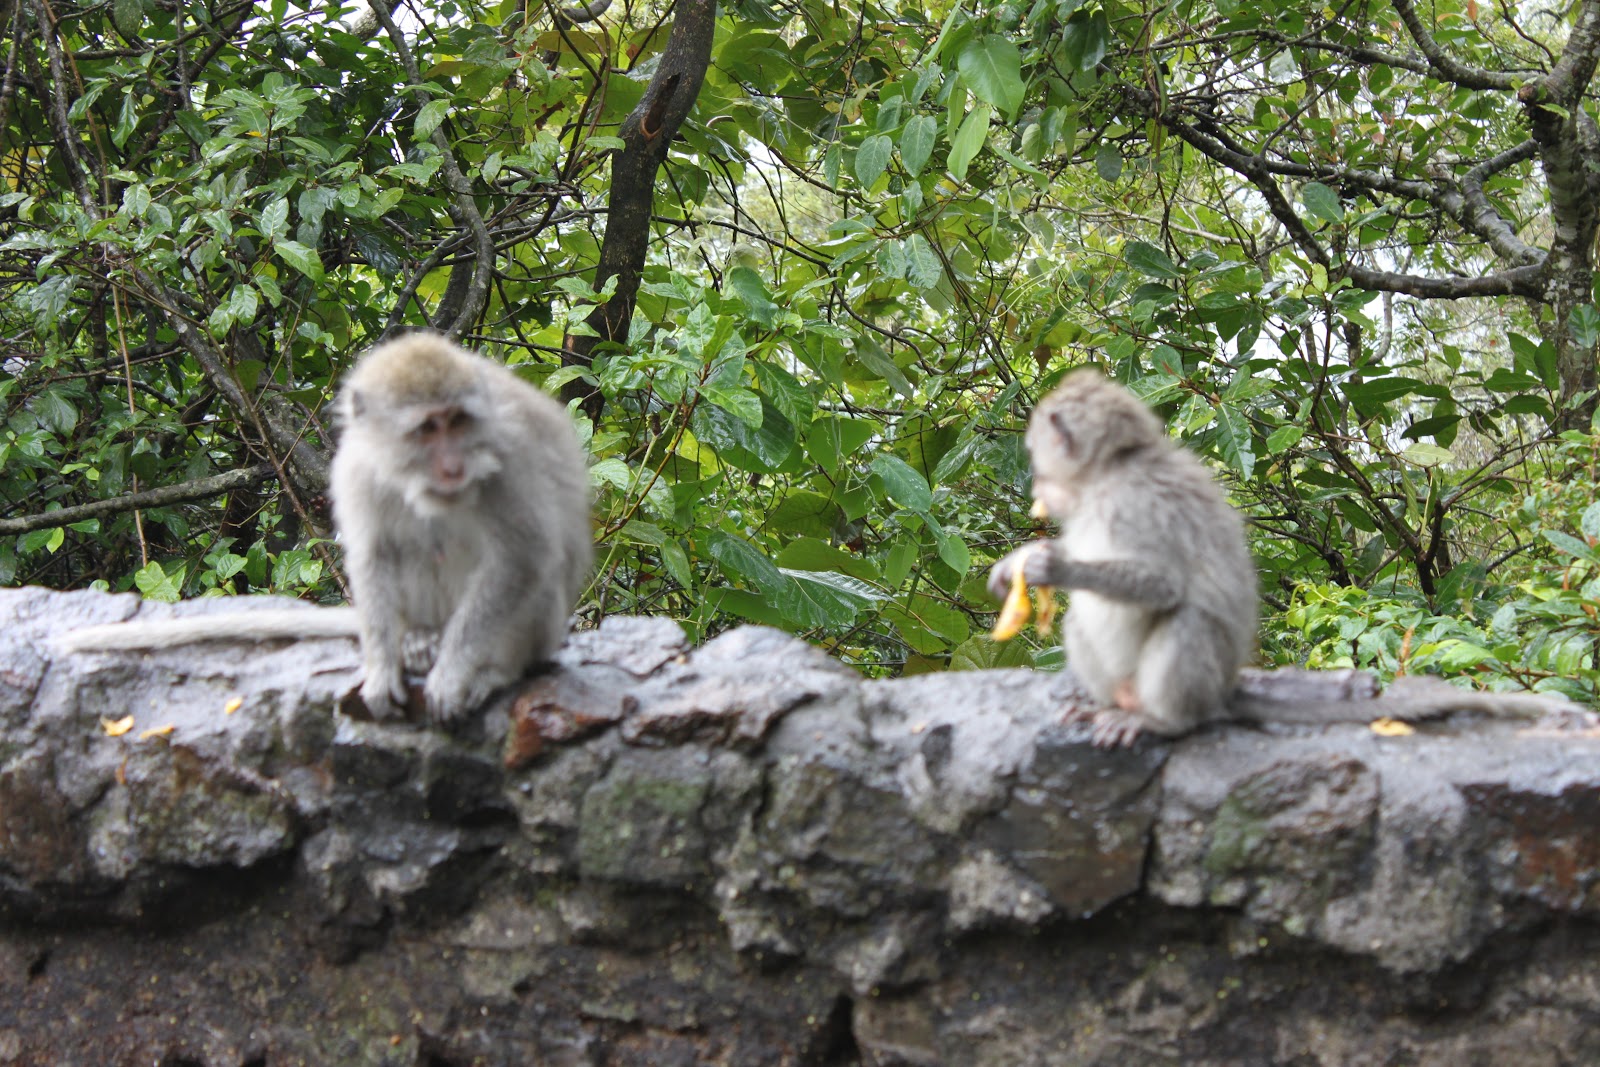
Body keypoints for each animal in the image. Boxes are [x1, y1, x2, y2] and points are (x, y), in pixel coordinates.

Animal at [58, 333, 594, 726]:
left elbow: (522, 556)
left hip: (540, 629)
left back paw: (493, 670)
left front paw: (455, 673)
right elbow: (374, 555)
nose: (453, 466)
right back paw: (419, 641)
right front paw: (381, 670)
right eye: (427, 428)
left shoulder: (508, 457)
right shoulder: (357, 467)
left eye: (458, 421)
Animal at [988, 368, 1578, 747]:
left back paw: (1163, 722)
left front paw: (1053, 567)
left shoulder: (1136, 504)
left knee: (1185, 622)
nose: (1036, 483)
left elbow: (1163, 585)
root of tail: (1218, 697)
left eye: (1037, 453)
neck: (1109, 474)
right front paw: (1016, 567)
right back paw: (1106, 704)